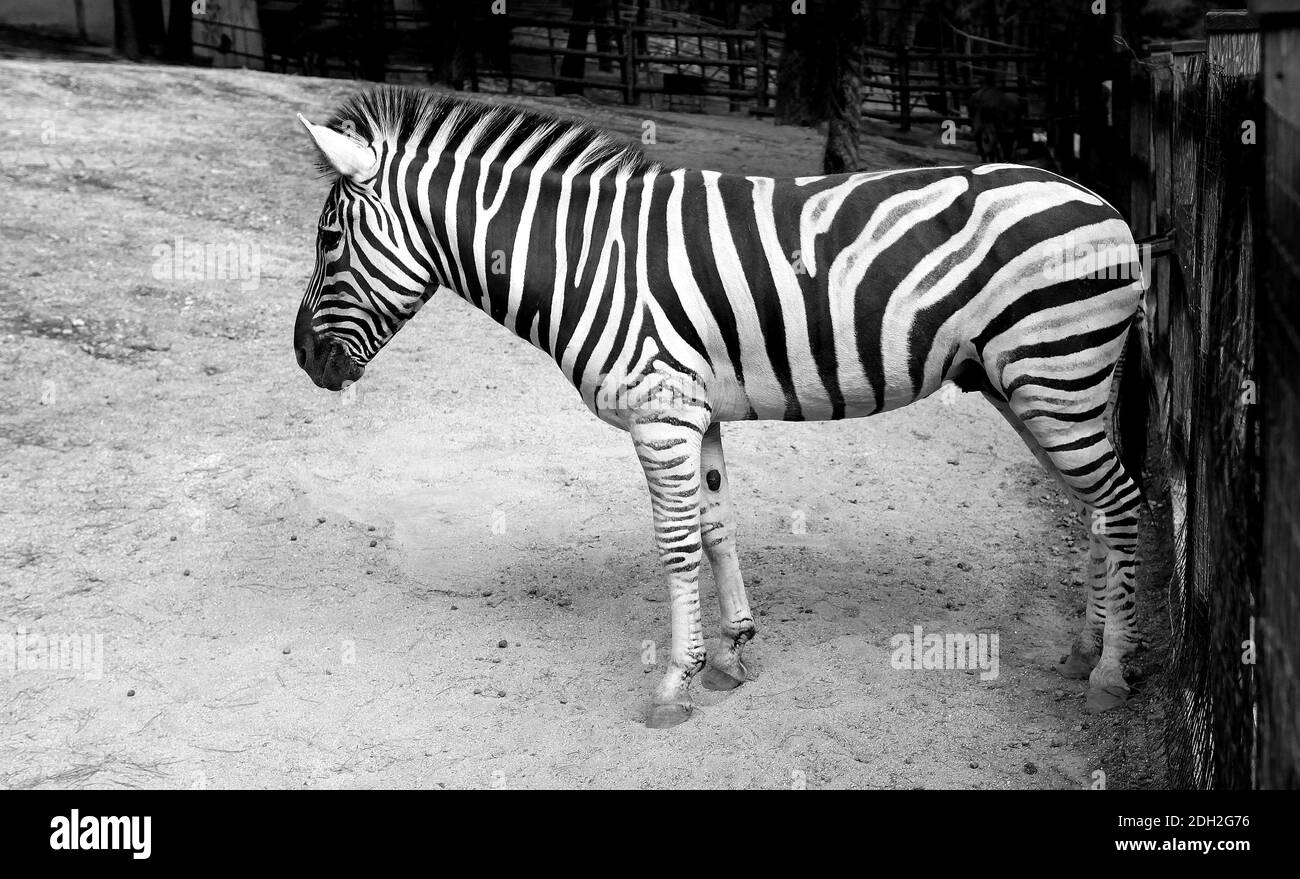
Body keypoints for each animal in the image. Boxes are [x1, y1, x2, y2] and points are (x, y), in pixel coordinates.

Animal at [292, 87, 1149, 728]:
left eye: (329, 241)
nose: (303, 359)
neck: (582, 259)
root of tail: (1106, 204)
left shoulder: (660, 413)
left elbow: (674, 545)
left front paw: (674, 682)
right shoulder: (693, 412)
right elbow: (716, 527)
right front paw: (734, 652)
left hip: (1056, 375)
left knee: (1124, 502)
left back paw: (1113, 670)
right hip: (1029, 387)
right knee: (1097, 508)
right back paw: (1084, 650)